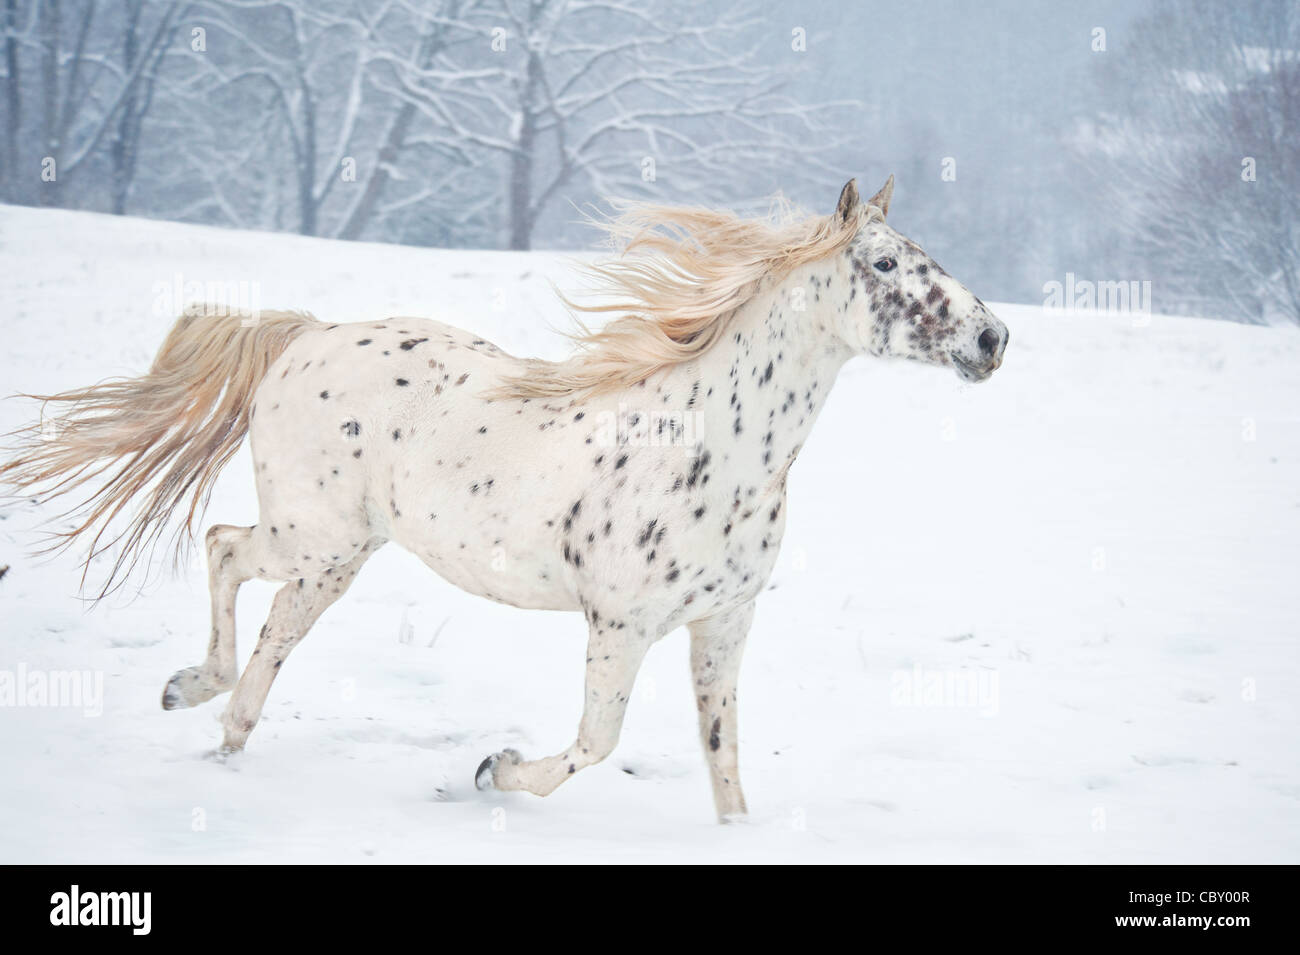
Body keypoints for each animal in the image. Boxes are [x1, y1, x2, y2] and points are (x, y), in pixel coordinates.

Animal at [1, 177, 1008, 821]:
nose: (992, 338)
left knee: (247, 588)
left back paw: (213, 719)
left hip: (334, 551)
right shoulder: (620, 625)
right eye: (884, 265)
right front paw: (494, 769)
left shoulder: (723, 623)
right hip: (317, 543)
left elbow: (724, 764)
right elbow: (595, 742)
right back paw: (199, 702)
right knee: (228, 556)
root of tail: (311, 334)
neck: (709, 451)